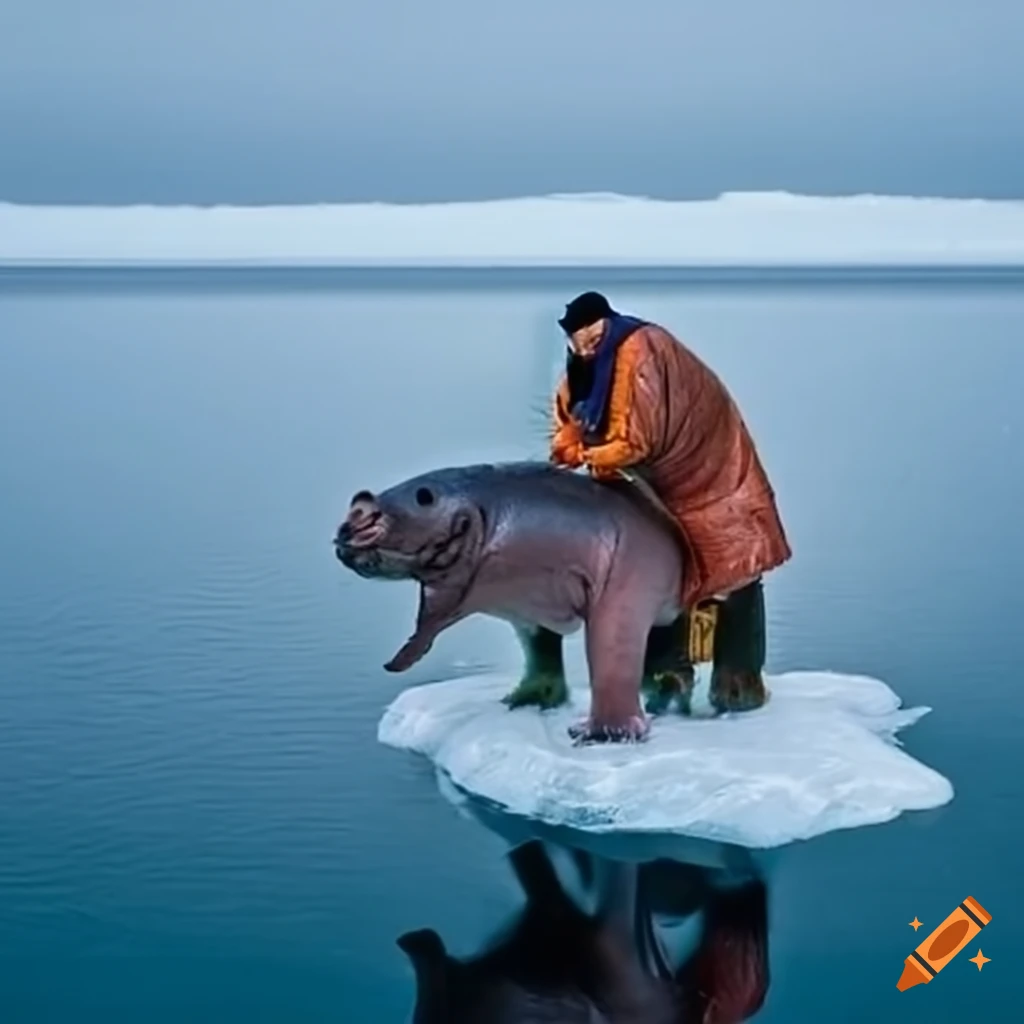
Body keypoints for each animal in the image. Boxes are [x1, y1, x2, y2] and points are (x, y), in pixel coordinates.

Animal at [333, 461, 762, 744]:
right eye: (359, 504)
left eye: (425, 497)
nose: (357, 507)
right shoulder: (520, 604)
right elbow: (536, 649)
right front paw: (523, 701)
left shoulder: (624, 593)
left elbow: (610, 661)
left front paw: (599, 736)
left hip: (729, 591)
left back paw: (736, 702)